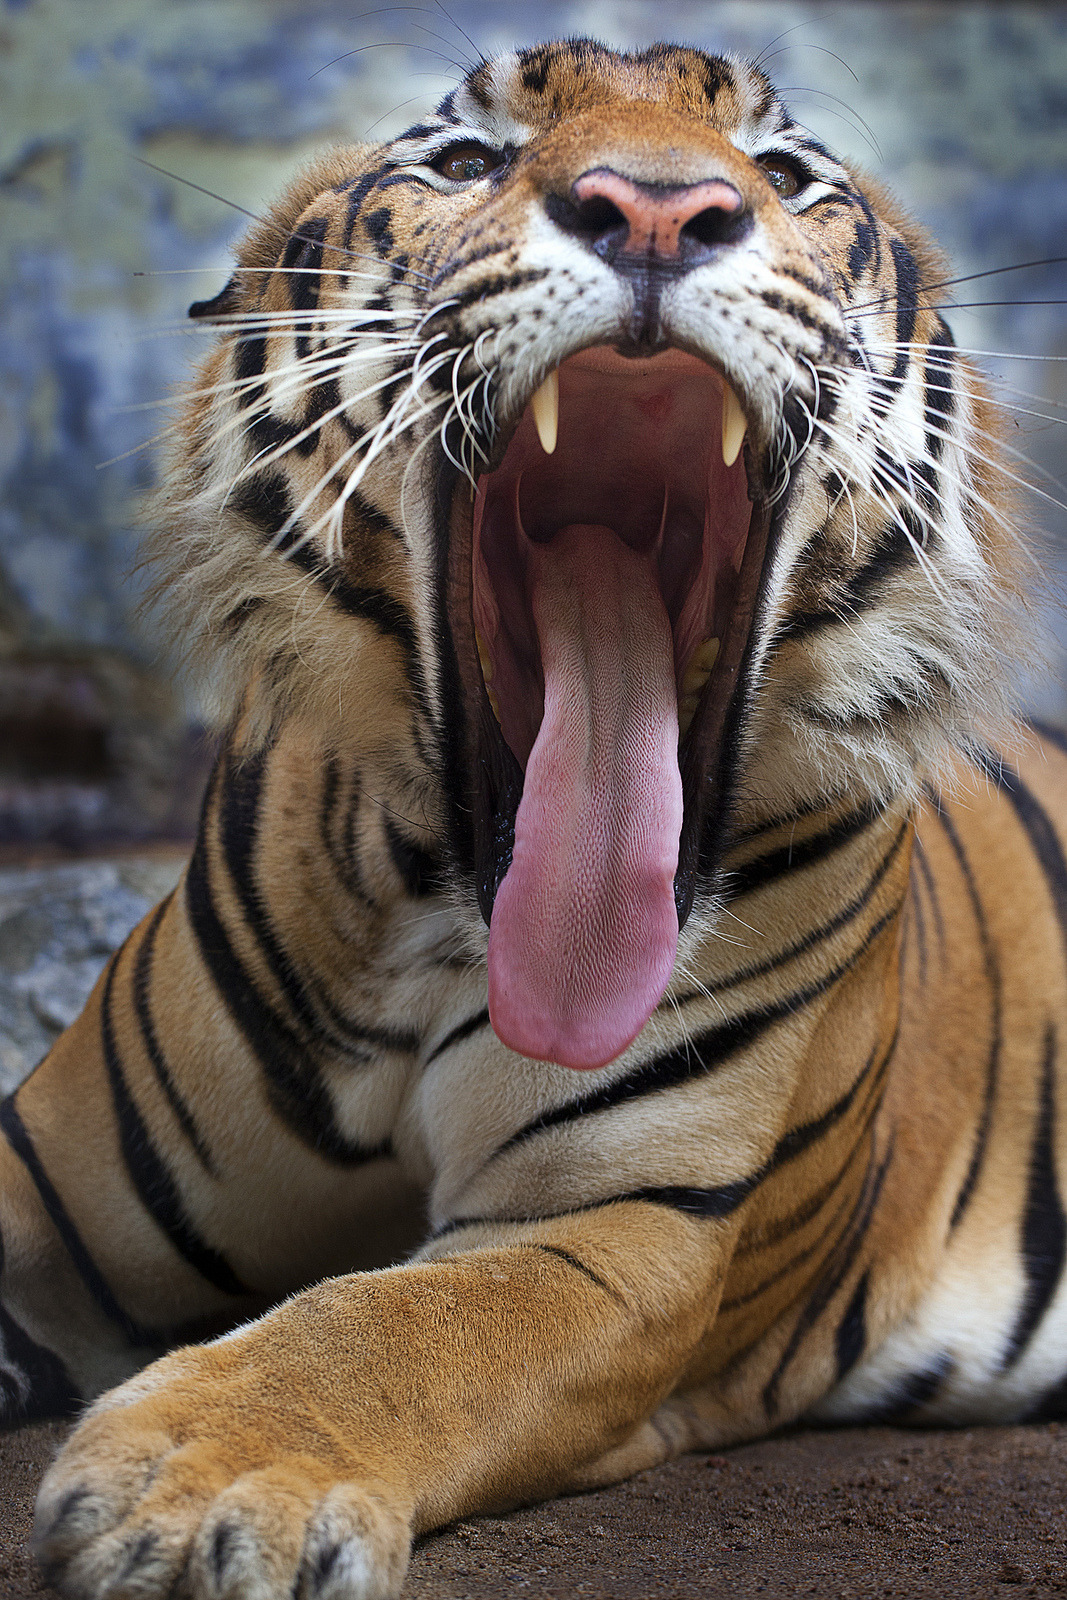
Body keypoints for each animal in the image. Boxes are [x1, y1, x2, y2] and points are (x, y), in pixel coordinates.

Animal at [2, 33, 1064, 1600]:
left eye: (784, 174)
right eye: (465, 159)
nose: (656, 211)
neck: (435, 909)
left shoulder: (618, 1232)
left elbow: (383, 1325)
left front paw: (187, 1488)